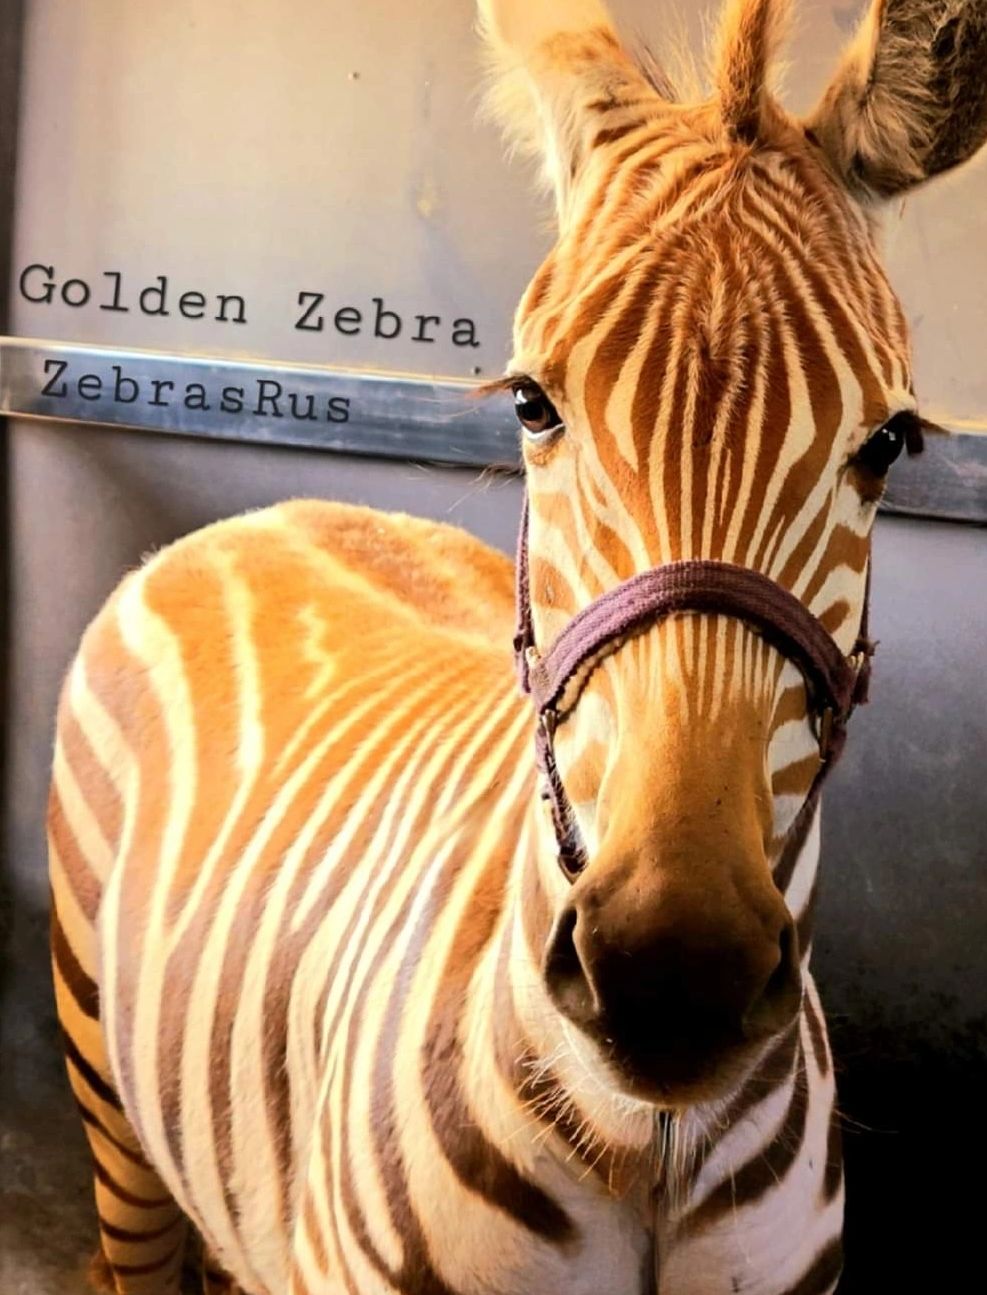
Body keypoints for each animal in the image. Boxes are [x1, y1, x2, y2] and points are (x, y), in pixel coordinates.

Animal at [48, 1, 987, 1292]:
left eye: (890, 441)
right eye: (534, 404)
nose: (671, 982)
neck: (651, 1145)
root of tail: (279, 507)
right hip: (111, 1095)